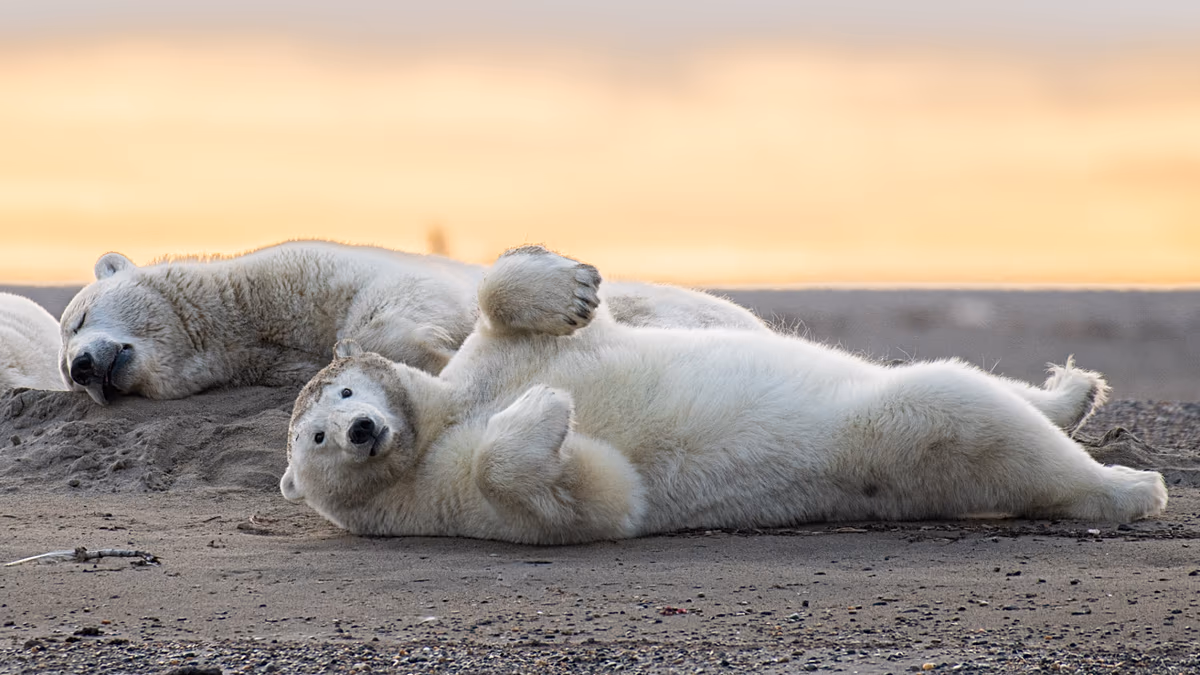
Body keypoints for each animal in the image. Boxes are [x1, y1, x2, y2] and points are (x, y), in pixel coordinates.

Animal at [279, 246, 1167, 544]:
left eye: (346, 388)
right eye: (313, 437)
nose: (359, 430)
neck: (434, 425)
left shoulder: (486, 362)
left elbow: (511, 307)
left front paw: (572, 285)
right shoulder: (442, 500)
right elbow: (593, 496)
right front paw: (546, 412)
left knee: (975, 385)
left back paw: (1072, 391)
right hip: (898, 445)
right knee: (960, 410)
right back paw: (1126, 486)